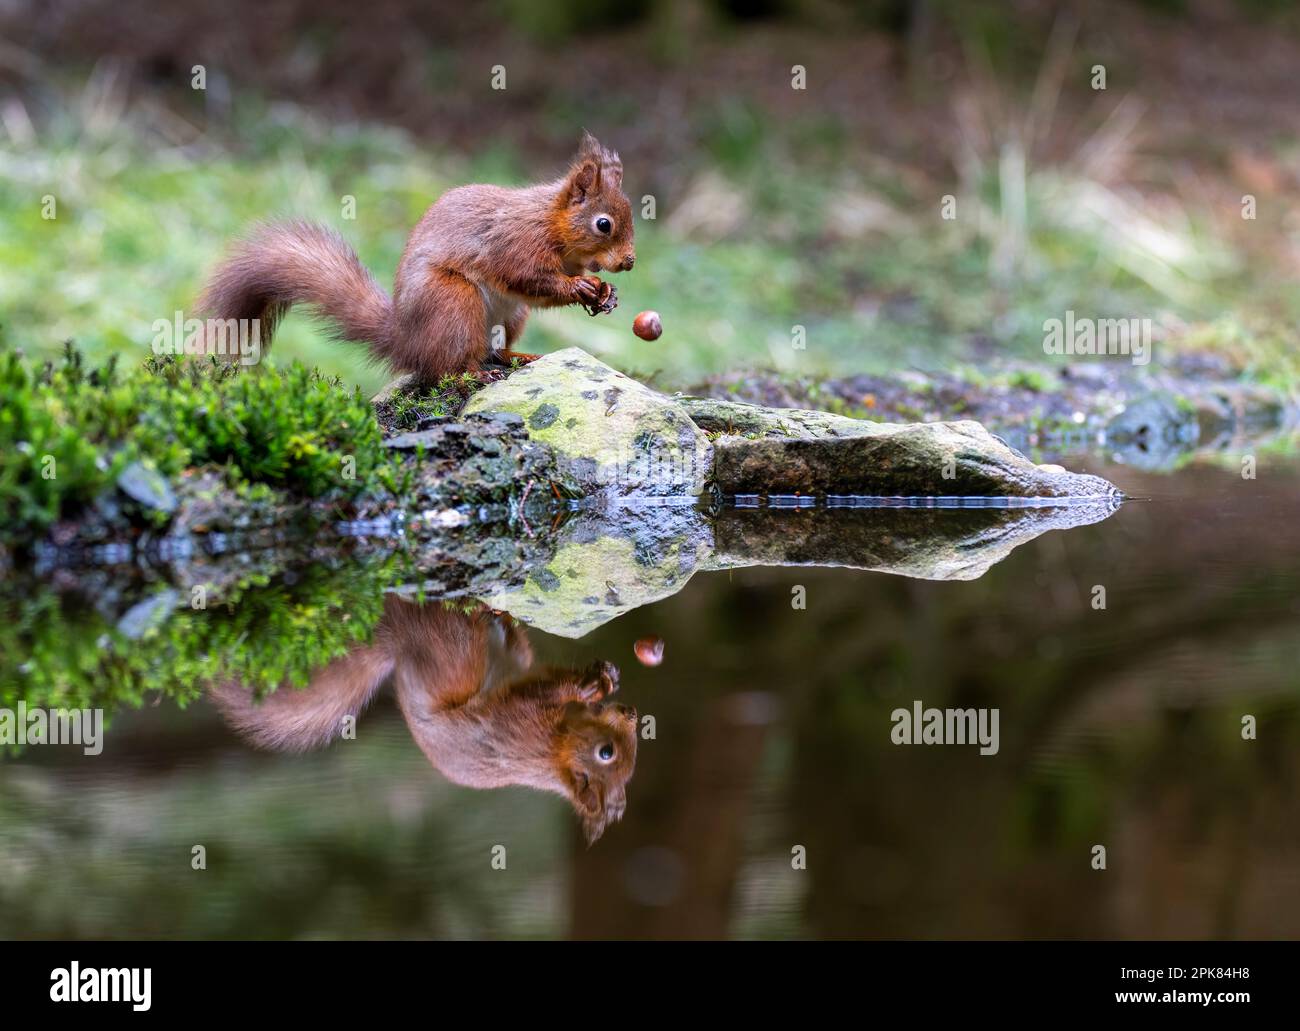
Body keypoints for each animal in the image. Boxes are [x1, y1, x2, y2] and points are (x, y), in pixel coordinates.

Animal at [198, 132, 635, 383]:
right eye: (603, 224)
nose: (628, 262)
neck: (553, 224)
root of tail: (407, 340)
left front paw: (607, 293)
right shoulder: (513, 243)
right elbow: (528, 278)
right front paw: (581, 287)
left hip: (511, 317)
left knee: (494, 350)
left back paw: (519, 355)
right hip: (454, 302)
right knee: (446, 369)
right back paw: (474, 376)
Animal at [208, 596, 639, 843]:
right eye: (606, 753)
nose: (632, 714)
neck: (556, 754)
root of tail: (400, 645)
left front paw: (601, 680)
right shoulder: (522, 727)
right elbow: (539, 692)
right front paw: (594, 683)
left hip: (494, 656)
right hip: (458, 659)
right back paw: (482, 610)